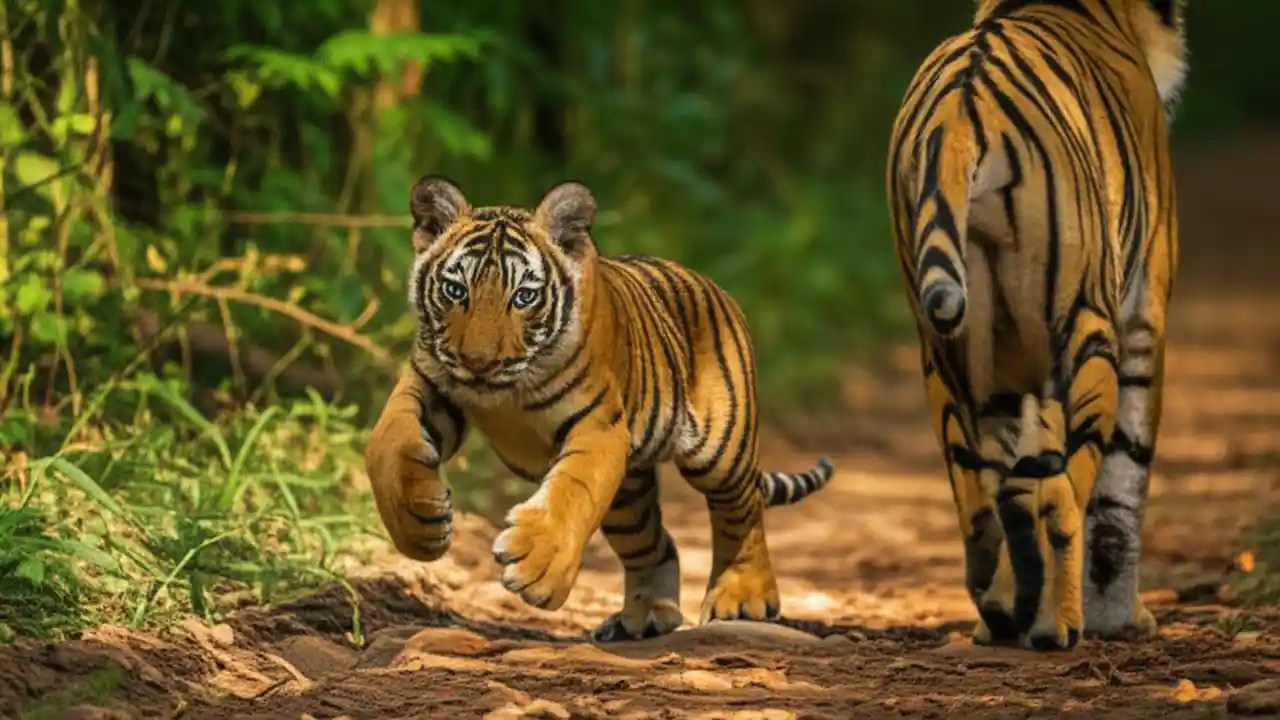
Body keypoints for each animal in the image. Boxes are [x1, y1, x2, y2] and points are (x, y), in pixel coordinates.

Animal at [364, 176, 835, 641]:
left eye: (524, 297)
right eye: (454, 291)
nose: (479, 363)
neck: (505, 392)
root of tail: (714, 287)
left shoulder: (598, 426)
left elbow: (574, 488)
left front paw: (536, 563)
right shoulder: (430, 384)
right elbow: (386, 442)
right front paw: (419, 522)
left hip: (721, 452)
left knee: (742, 511)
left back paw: (743, 598)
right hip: (629, 497)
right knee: (655, 543)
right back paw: (646, 615)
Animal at [886, 0, 1185, 650]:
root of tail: (961, 106)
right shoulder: (1144, 319)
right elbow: (1124, 479)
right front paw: (1120, 617)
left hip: (946, 354)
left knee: (983, 502)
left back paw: (1001, 614)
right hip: (1087, 328)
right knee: (1059, 494)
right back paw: (1057, 625)